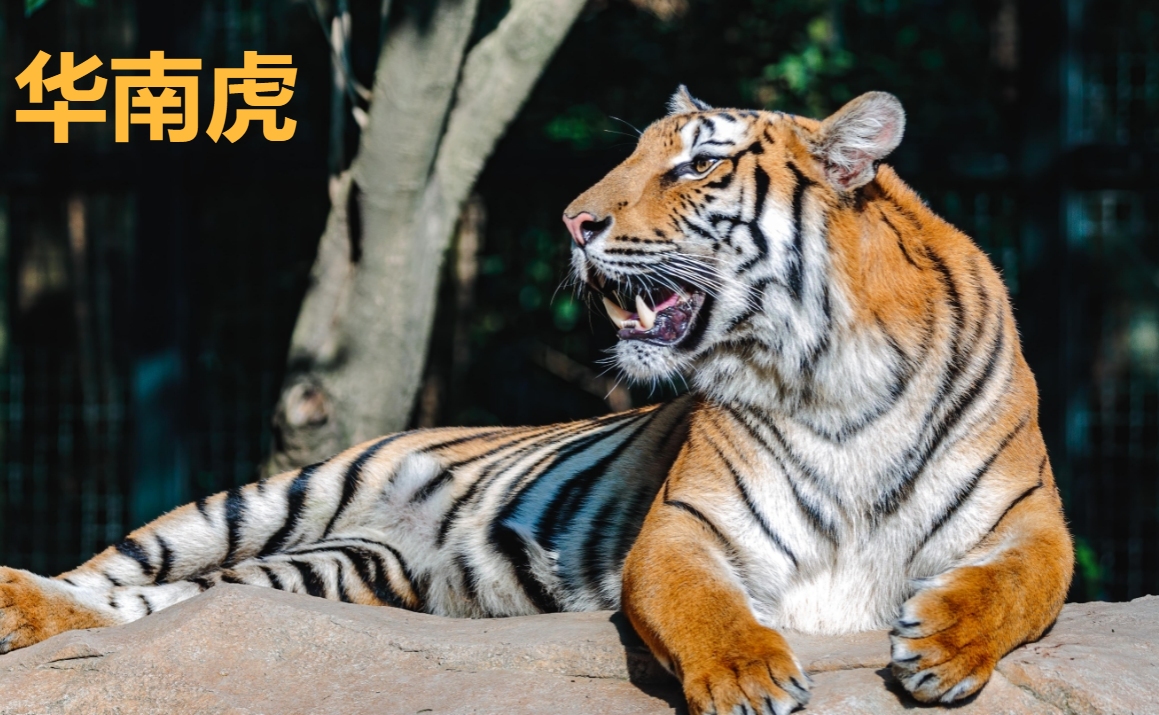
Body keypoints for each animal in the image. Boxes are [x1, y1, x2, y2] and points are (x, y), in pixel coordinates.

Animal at [0, 88, 1072, 714]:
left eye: (698, 162)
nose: (573, 220)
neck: (823, 366)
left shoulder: (1029, 523)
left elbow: (1016, 583)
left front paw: (941, 648)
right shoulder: (687, 530)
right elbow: (704, 606)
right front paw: (746, 676)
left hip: (339, 572)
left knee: (174, 602)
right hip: (270, 498)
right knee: (117, 573)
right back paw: (17, 599)